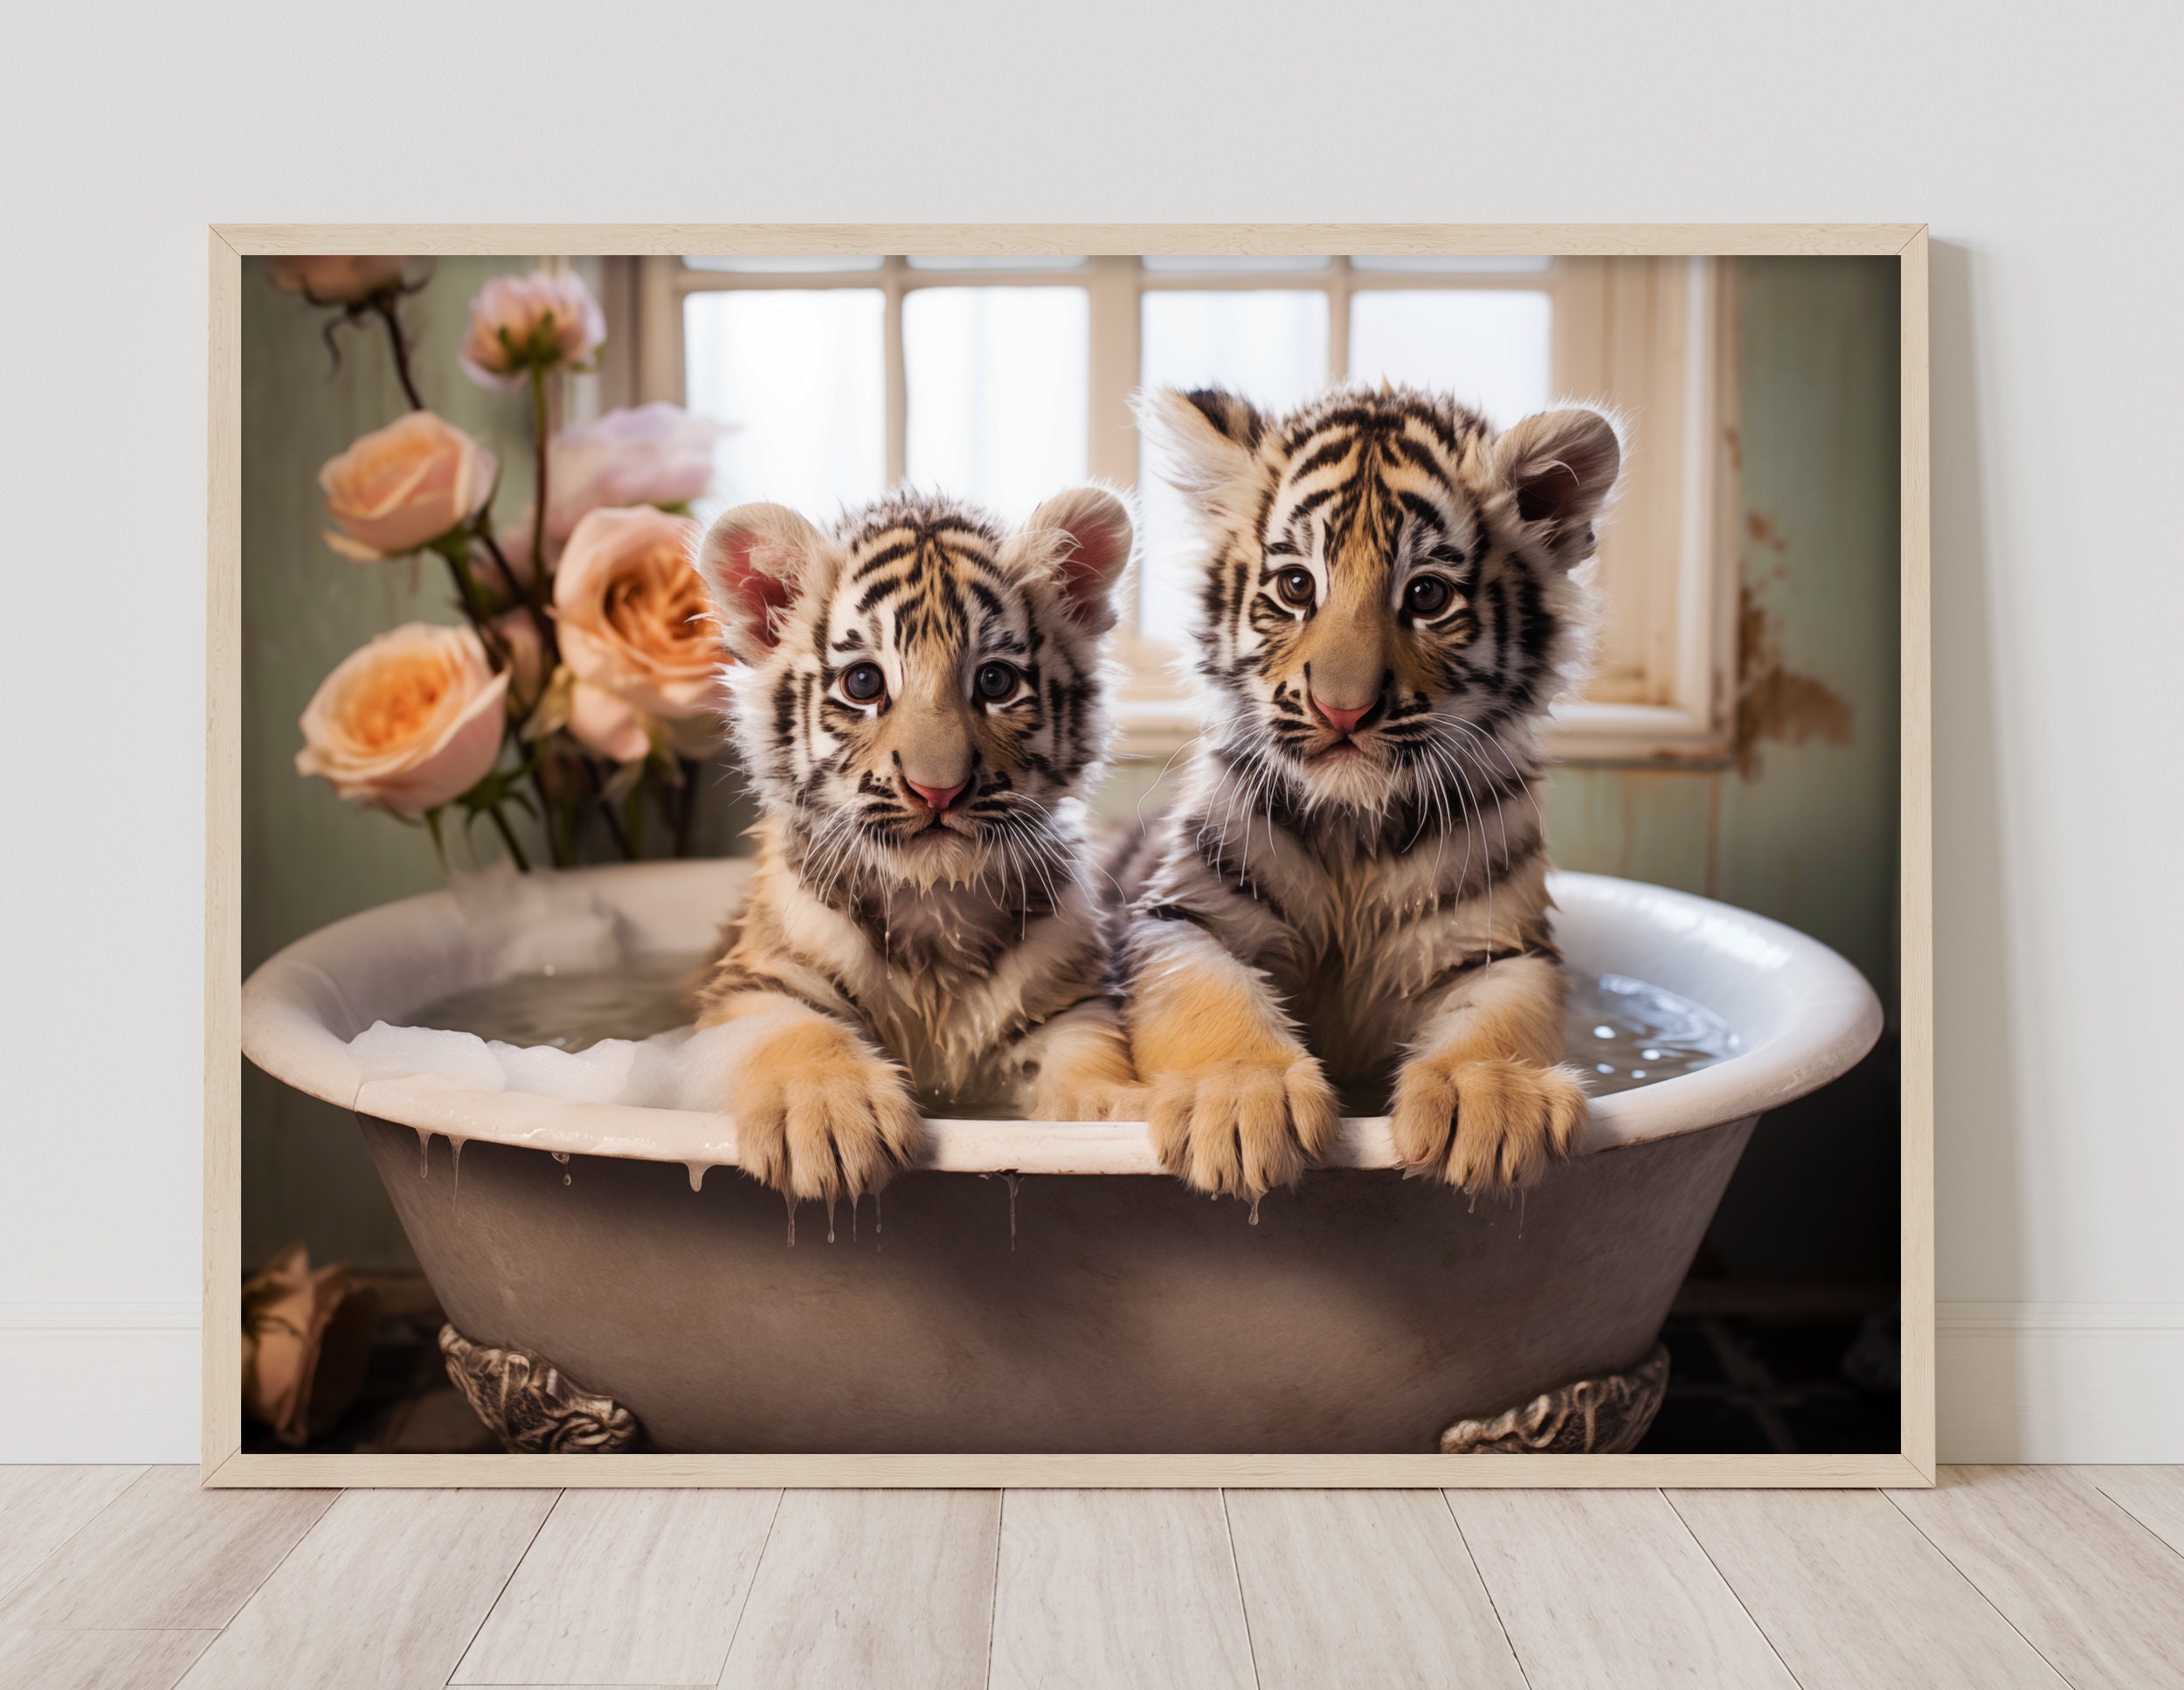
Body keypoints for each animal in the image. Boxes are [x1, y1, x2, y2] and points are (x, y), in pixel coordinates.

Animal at [688, 485, 1144, 1206]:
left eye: (995, 682)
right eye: (864, 684)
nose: (939, 790)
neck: (934, 908)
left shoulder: (1061, 1004)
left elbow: (1090, 1051)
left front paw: (1110, 1113)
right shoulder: (753, 982)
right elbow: (791, 1025)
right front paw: (827, 1116)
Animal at [1114, 382, 1623, 1202]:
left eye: (1427, 594)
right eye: (1297, 585)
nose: (1343, 710)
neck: (1356, 827)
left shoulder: (1500, 944)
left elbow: (1501, 1014)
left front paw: (1489, 1100)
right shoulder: (1181, 916)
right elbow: (1208, 991)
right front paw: (1239, 1100)